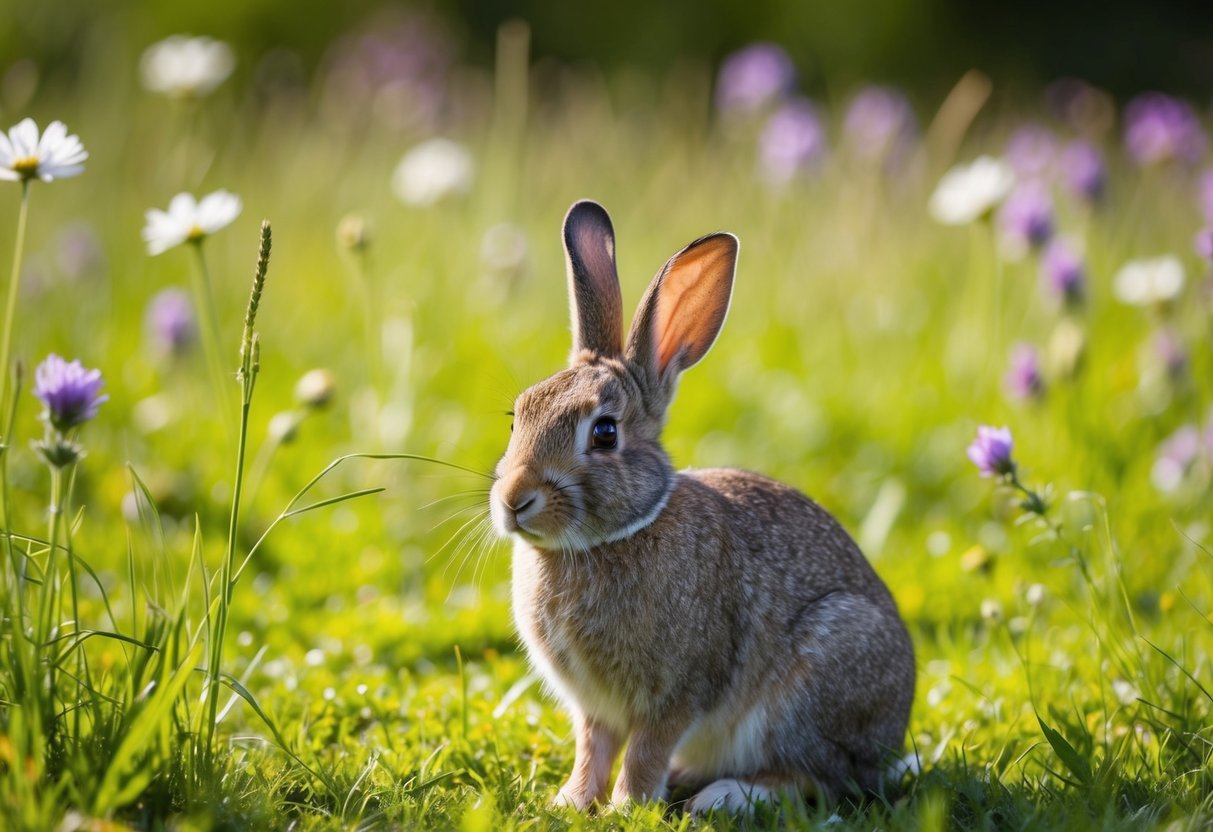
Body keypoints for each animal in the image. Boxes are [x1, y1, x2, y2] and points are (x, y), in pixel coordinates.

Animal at [489, 200, 915, 815]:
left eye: (605, 433)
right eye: (517, 416)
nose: (513, 501)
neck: (611, 538)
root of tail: (891, 738)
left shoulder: (679, 693)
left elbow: (644, 751)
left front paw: (626, 808)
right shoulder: (594, 709)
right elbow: (592, 749)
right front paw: (569, 802)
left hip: (814, 682)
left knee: (821, 779)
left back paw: (724, 796)